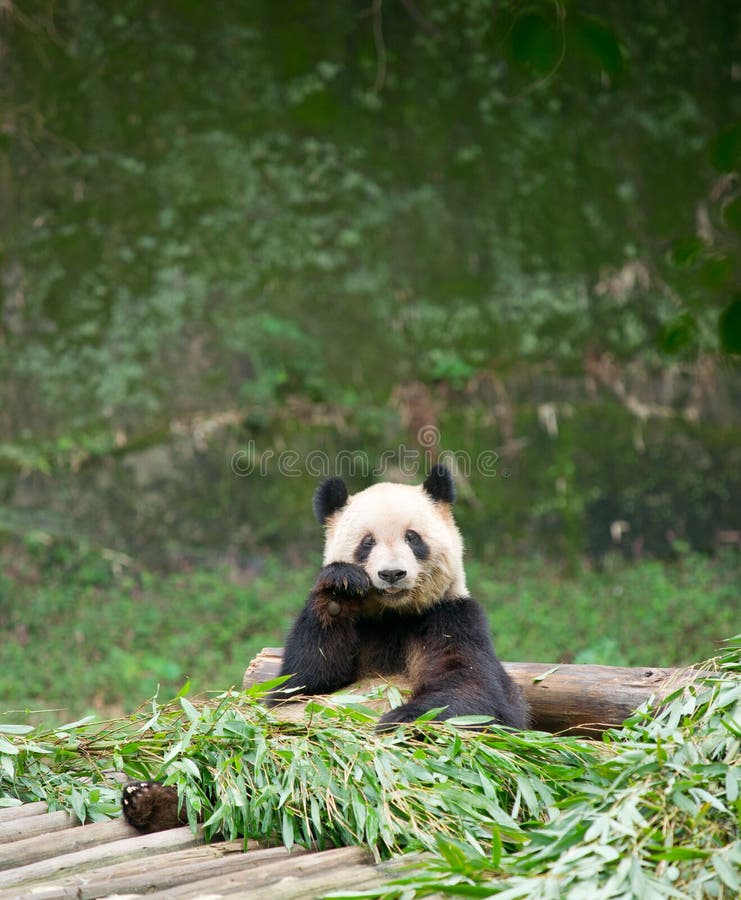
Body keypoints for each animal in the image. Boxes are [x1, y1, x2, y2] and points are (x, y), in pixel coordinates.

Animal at [121, 464, 528, 832]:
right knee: (215, 770)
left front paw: (394, 722)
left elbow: (470, 689)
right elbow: (302, 681)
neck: (393, 616)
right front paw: (338, 589)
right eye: (367, 542)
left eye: (413, 538)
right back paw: (149, 799)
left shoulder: (450, 618)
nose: (391, 574)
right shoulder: (355, 631)